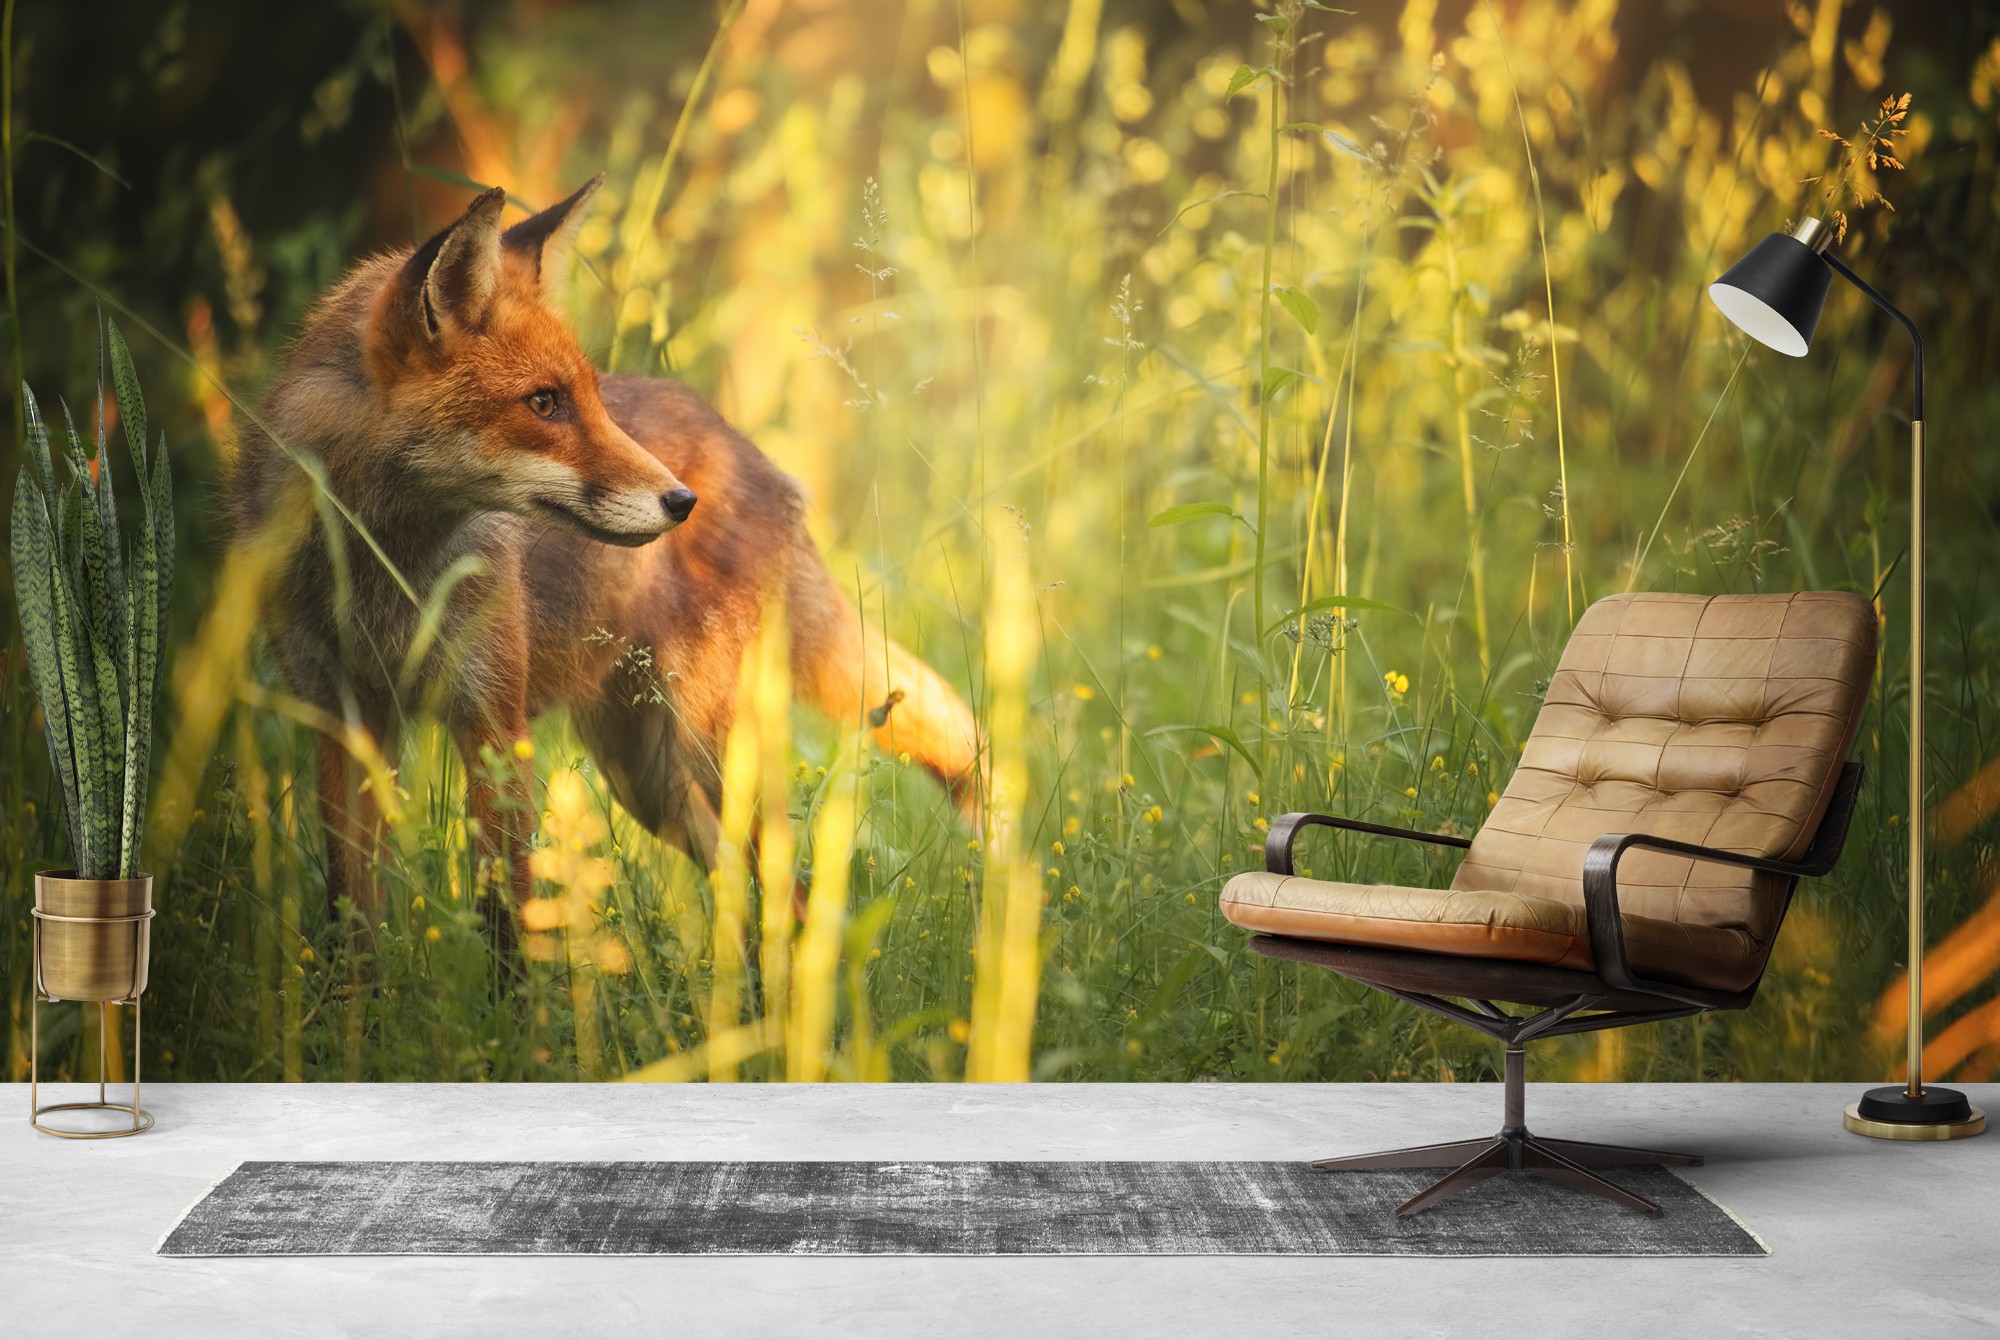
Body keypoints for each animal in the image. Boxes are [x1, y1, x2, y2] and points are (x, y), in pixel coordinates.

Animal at [230, 178, 981, 936]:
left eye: (590, 397)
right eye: (545, 403)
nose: (682, 500)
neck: (382, 569)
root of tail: (752, 456)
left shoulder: (495, 723)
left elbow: (507, 921)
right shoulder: (340, 717)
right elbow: (351, 921)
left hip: (708, 753)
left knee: (789, 897)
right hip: (648, 780)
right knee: (741, 898)